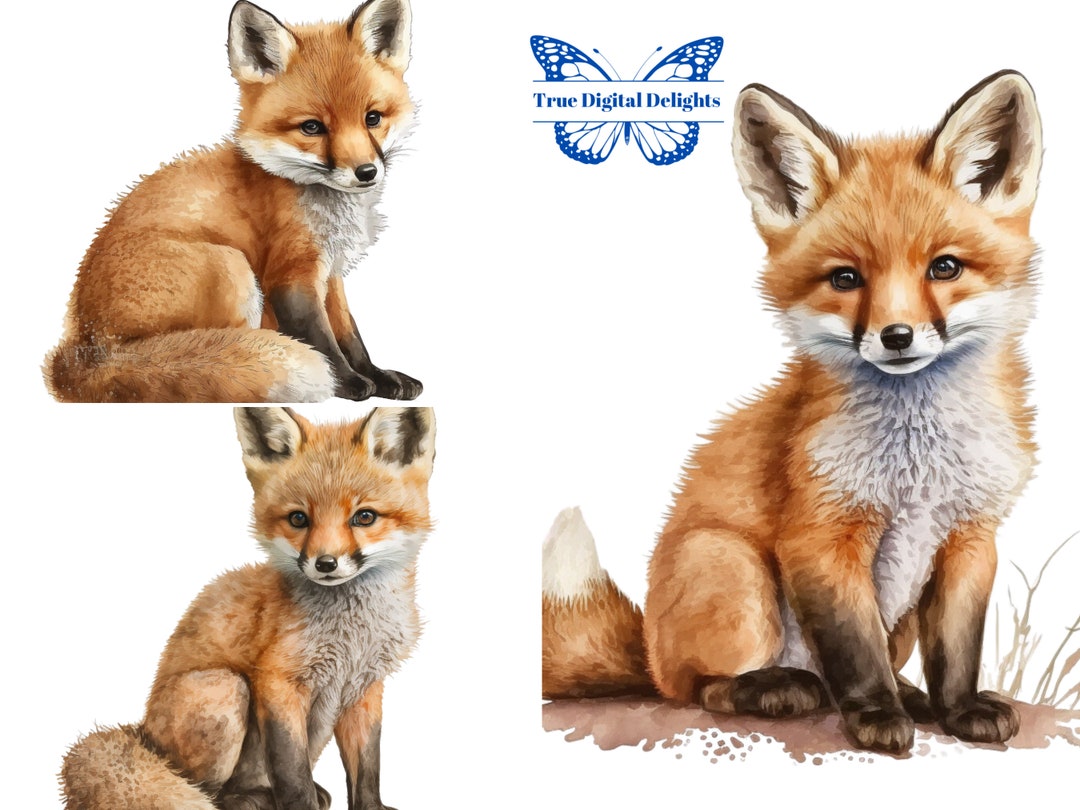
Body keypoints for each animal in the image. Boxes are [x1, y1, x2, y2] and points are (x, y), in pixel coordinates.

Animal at [44, 0, 422, 403]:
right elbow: (322, 338)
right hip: (233, 267)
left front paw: (380, 377)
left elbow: (350, 335)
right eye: (312, 127)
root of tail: (87, 352)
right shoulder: (291, 273)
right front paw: (349, 384)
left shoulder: (331, 273)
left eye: (372, 118)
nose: (366, 172)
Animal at [61, 405, 436, 809]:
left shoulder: (364, 689)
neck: (353, 637)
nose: (325, 564)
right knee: (203, 789)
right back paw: (244, 798)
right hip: (228, 690)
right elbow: (291, 772)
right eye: (298, 519)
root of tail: (142, 733)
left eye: (364, 517)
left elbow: (366, 769)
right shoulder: (276, 680)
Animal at [542, 70, 1042, 754]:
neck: (918, 464)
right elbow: (853, 649)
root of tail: (648, 652)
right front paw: (877, 716)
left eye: (945, 268)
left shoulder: (971, 537)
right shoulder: (819, 535)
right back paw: (774, 690)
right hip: (732, 571)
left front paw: (959, 709)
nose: (896, 337)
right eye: (845, 278)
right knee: (700, 688)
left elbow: (957, 649)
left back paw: (906, 696)